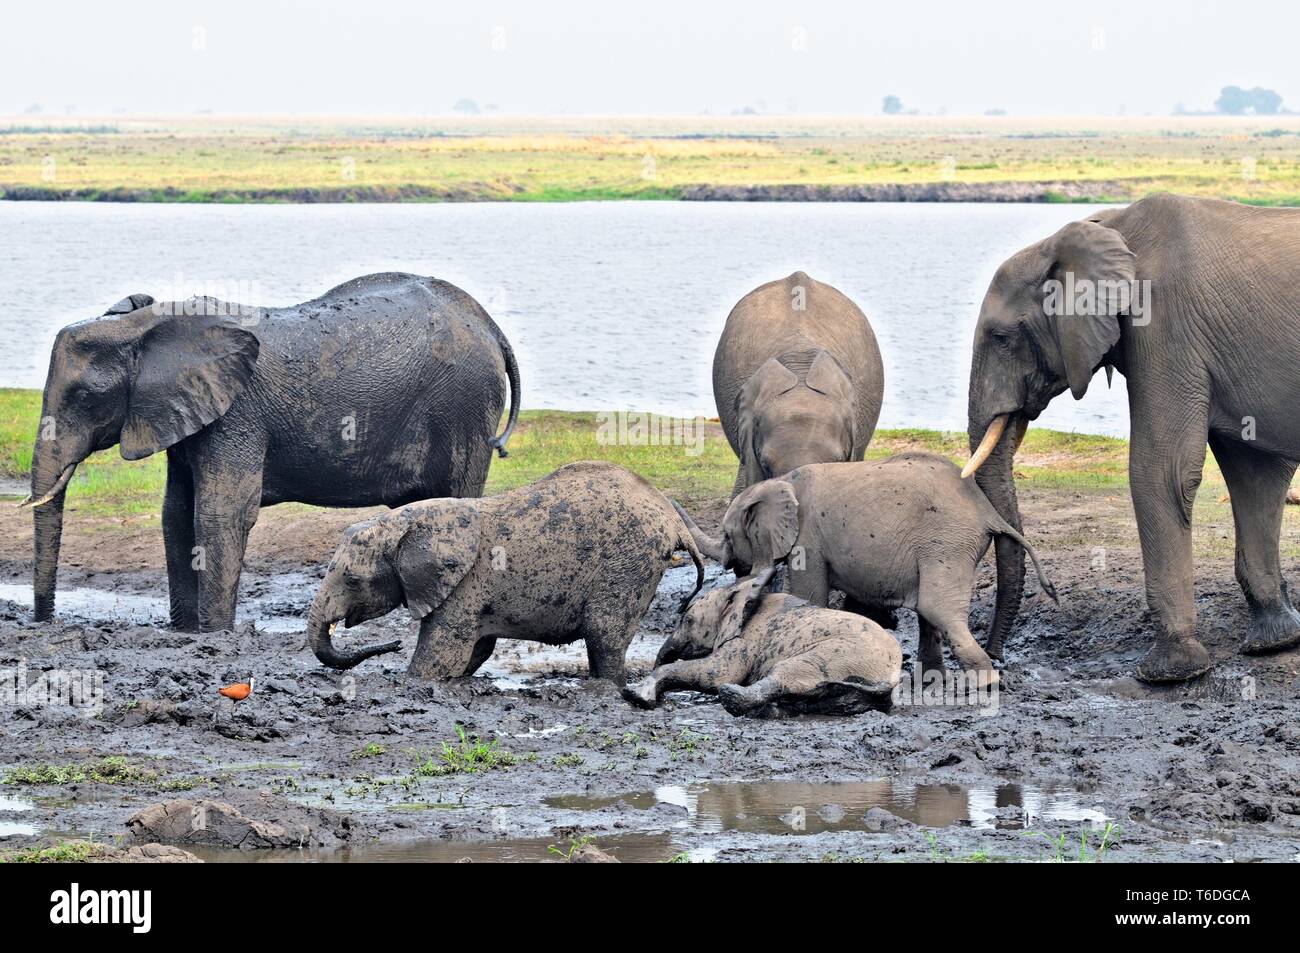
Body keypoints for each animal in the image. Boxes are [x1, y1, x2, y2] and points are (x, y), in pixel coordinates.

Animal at [23, 272, 520, 632]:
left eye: (86, 397)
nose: (45, 623)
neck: (147, 326)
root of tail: (491, 326)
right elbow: (176, 514)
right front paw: (184, 633)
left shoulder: (237, 414)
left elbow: (220, 514)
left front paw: (214, 635)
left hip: (464, 406)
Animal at [307, 461, 704, 681]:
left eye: (353, 580)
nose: (394, 645)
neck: (405, 522)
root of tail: (672, 518)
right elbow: (476, 649)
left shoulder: (464, 582)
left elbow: (440, 654)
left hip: (629, 562)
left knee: (603, 635)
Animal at [622, 566, 903, 716]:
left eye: (688, 620)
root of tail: (890, 676)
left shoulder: (745, 640)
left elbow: (717, 675)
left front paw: (637, 695)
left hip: (840, 653)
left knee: (784, 674)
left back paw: (733, 698)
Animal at [674, 453, 1057, 683]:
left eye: (727, 534)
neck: (781, 482)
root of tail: (986, 509)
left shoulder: (808, 538)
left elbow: (808, 594)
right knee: (929, 612)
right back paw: (930, 681)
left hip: (946, 542)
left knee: (937, 609)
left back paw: (983, 682)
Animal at [964, 193, 1300, 682]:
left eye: (1002, 337)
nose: (995, 659)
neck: (1105, 226)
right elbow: (1254, 470)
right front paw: (1276, 641)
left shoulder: (1165, 325)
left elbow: (1162, 472)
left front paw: (1170, 673)